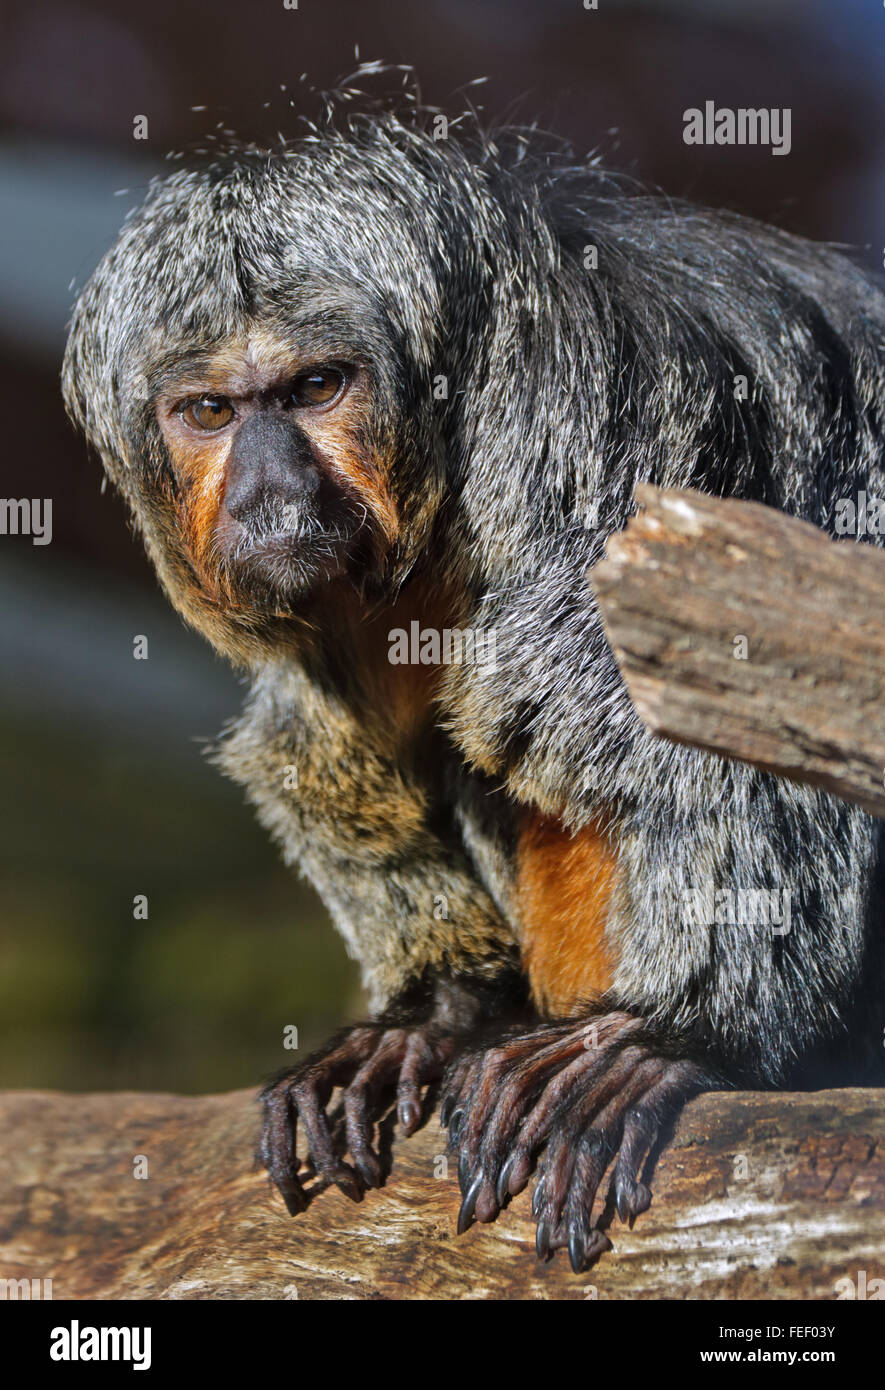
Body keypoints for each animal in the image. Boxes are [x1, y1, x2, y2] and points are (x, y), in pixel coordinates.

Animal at [62, 90, 885, 1274]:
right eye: (211, 412)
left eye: (316, 388)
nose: (270, 492)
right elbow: (329, 752)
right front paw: (441, 1009)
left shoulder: (612, 427)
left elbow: (719, 691)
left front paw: (681, 1032)